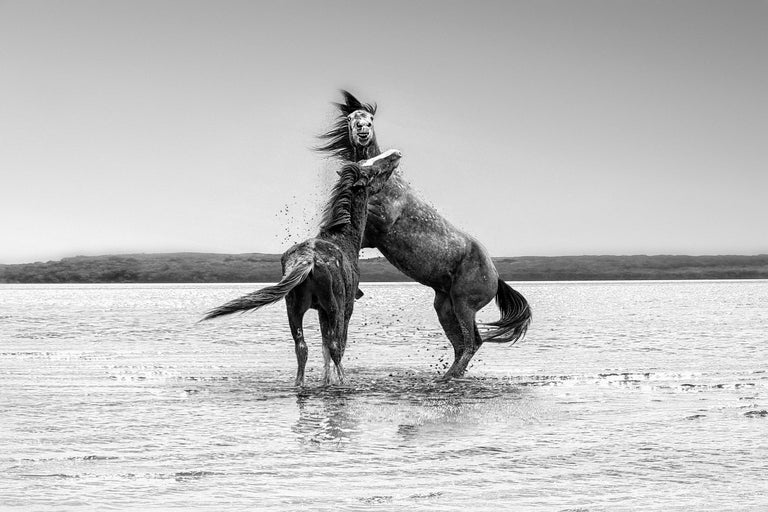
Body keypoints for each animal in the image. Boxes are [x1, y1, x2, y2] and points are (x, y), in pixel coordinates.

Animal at [202, 149, 402, 386]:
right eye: (372, 171)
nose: (395, 154)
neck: (347, 239)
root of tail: (307, 261)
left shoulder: (320, 311)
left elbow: (323, 348)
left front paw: (325, 380)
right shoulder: (345, 307)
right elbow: (335, 345)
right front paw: (332, 380)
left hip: (294, 307)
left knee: (302, 348)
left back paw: (300, 383)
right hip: (334, 305)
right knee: (335, 346)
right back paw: (343, 380)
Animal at [317, 91, 532, 381]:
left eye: (371, 119)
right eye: (352, 118)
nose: (363, 131)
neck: (388, 184)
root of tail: (497, 278)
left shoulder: (380, 224)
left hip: (464, 304)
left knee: (472, 342)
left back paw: (448, 378)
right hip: (445, 306)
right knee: (461, 344)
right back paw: (447, 375)